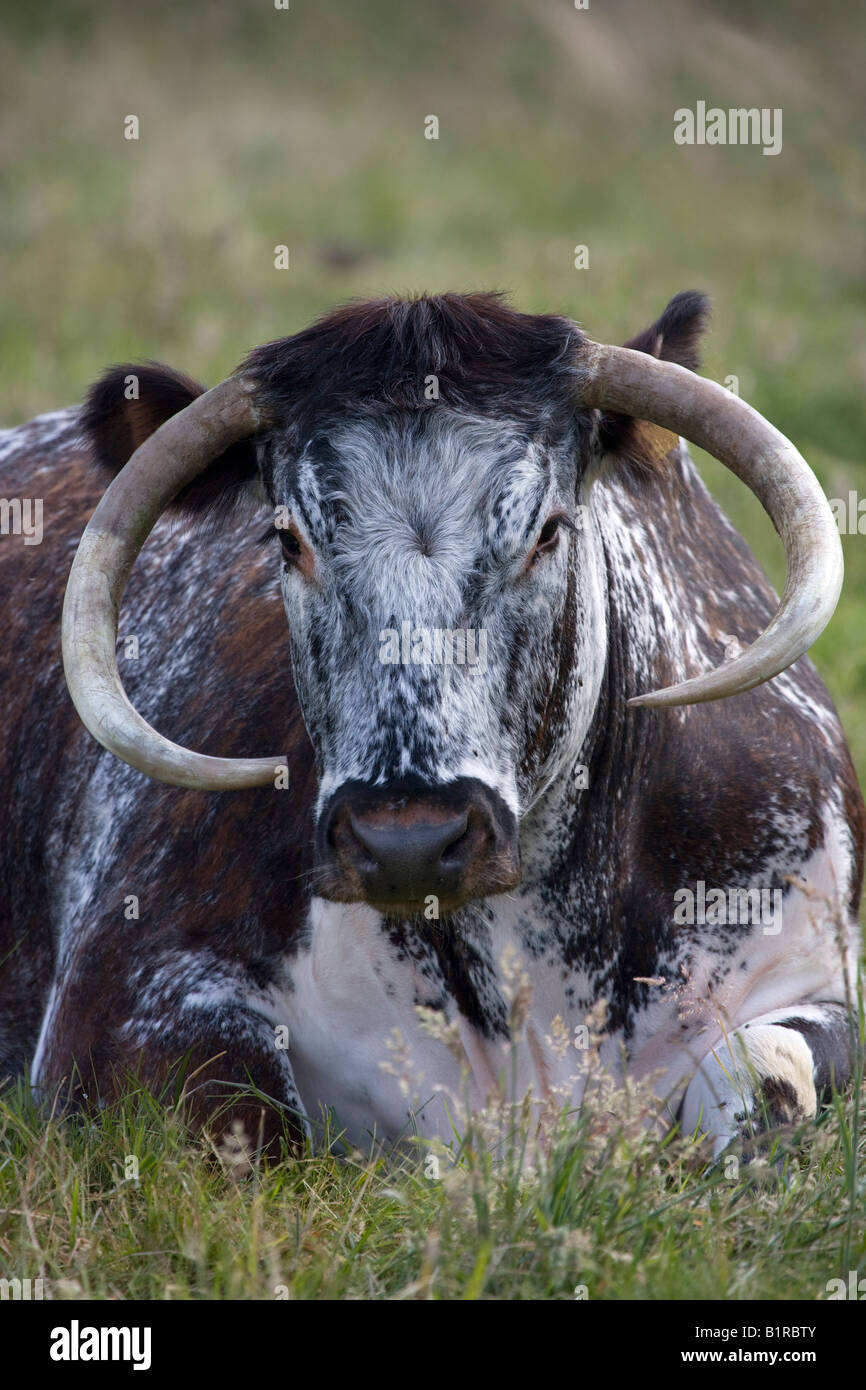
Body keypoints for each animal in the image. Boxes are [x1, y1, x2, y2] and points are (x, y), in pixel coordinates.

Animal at [0, 291, 862, 1161]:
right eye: (288, 538)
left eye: (548, 531)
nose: (406, 843)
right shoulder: (121, 1004)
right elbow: (248, 1121)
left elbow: (767, 1067)